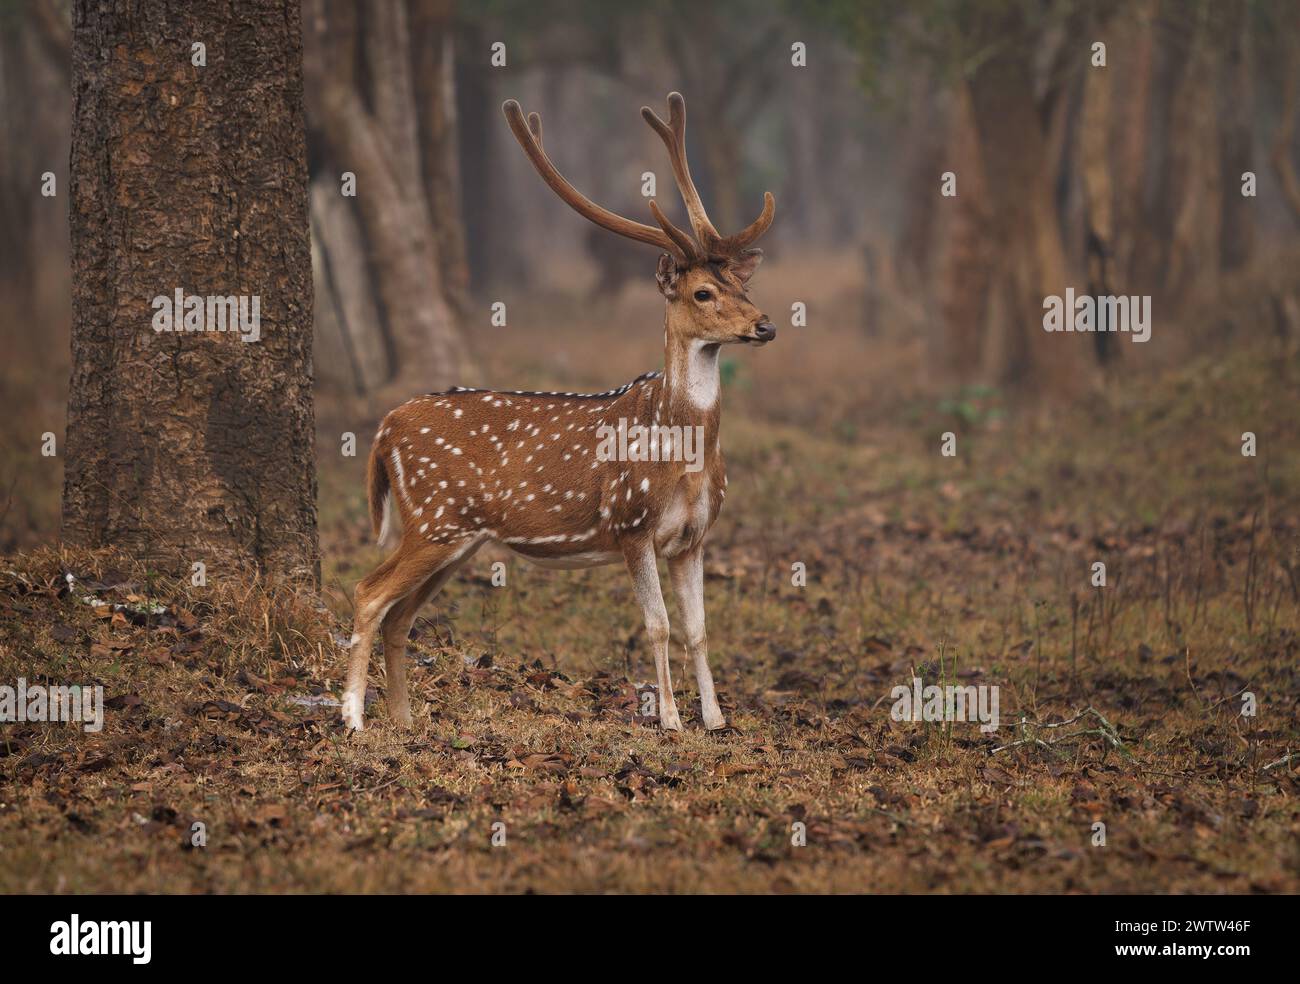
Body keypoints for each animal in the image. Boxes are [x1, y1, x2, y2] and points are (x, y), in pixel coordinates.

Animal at [342, 92, 776, 733]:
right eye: (702, 292)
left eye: (743, 287)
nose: (765, 325)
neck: (685, 451)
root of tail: (384, 428)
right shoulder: (631, 522)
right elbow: (658, 625)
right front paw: (671, 721)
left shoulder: (694, 538)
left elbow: (698, 630)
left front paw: (716, 720)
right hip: (435, 517)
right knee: (368, 591)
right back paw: (352, 716)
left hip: (458, 537)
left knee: (400, 614)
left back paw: (403, 720)